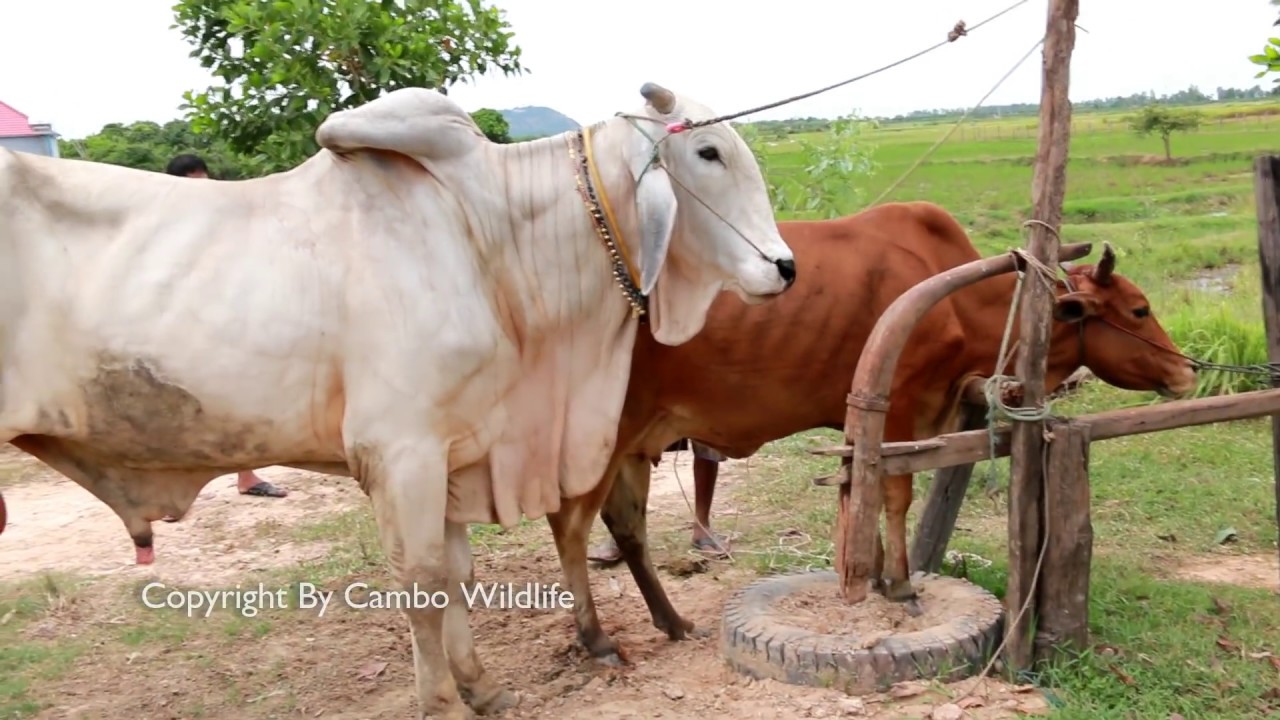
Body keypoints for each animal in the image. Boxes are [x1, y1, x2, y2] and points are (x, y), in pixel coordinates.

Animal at [0, 83, 796, 720]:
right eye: (709, 152)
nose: (785, 267)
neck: (493, 240)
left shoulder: (453, 449)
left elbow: (459, 575)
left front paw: (481, 687)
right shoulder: (401, 451)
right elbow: (422, 581)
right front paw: (441, 701)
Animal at [541, 200, 1198, 666]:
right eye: (1139, 310)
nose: (1187, 372)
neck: (961, 303)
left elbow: (861, 487)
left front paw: (872, 573)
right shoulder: (902, 403)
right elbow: (895, 492)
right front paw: (900, 585)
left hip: (635, 440)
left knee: (627, 529)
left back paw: (673, 623)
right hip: (599, 438)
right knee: (570, 528)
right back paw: (598, 641)